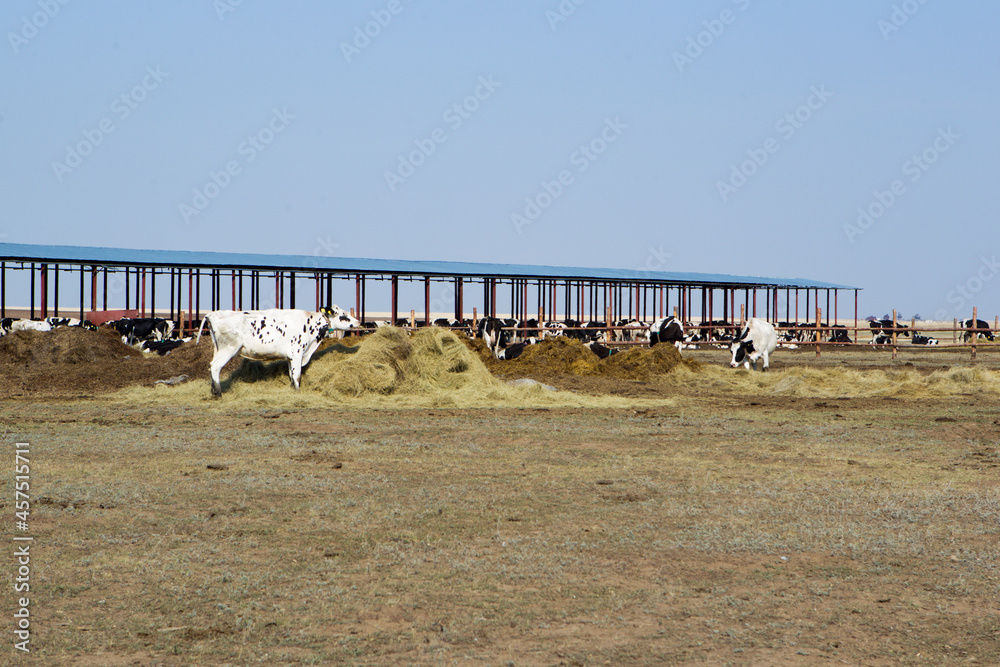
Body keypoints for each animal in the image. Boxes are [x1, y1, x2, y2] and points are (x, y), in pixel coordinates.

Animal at [197, 306, 359, 396]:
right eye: (343, 315)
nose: (358, 321)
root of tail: (212, 314)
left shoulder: (290, 357)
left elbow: (292, 375)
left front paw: (293, 390)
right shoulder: (297, 353)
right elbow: (297, 375)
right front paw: (298, 392)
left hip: (218, 348)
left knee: (211, 366)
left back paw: (213, 390)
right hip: (228, 348)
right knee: (215, 367)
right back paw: (218, 393)